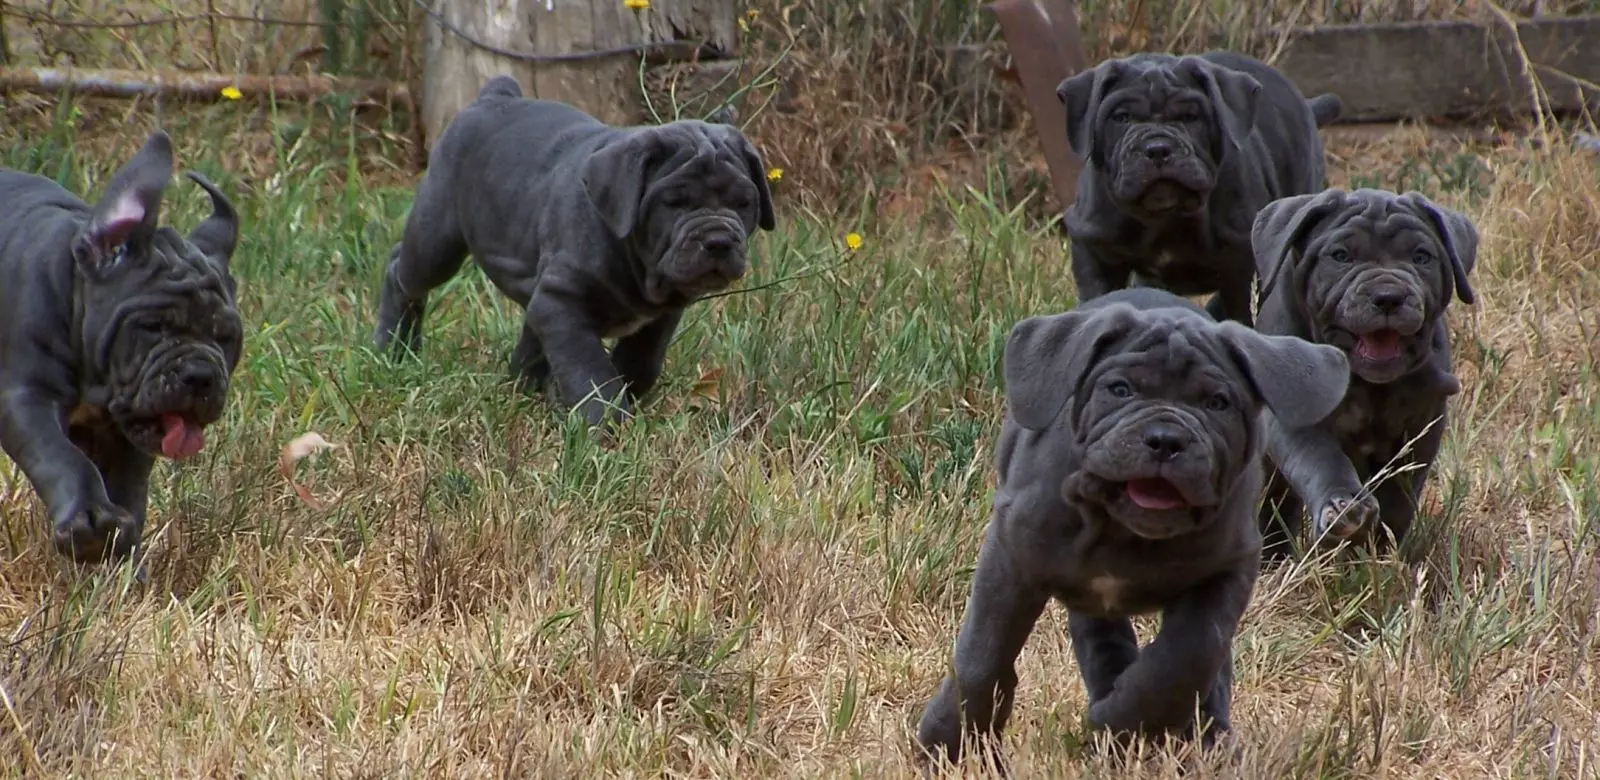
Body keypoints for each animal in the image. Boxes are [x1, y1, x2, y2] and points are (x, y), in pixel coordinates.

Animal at [374, 77, 774, 428]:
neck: (630, 254)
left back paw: (526, 385)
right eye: (674, 203)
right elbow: (590, 370)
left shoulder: (660, 313)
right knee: (402, 273)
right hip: (437, 239)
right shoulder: (563, 303)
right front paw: (606, 425)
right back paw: (394, 349)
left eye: (744, 203)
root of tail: (494, 95)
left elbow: (641, 360)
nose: (719, 240)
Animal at [915, 284, 1350, 767]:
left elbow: (1189, 654)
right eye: (1119, 390)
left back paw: (1201, 734)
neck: (1120, 531)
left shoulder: (1229, 569)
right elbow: (982, 652)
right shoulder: (1010, 556)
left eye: (1216, 403)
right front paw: (947, 743)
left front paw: (1124, 720)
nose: (1165, 439)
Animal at [1062, 50, 1350, 326]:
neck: (1165, 217)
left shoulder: (1240, 266)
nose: (1157, 148)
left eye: (1191, 117)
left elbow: (1240, 313)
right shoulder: (1094, 252)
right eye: (1121, 118)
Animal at [1248, 191, 1484, 562]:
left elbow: (1400, 491)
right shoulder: (1294, 415)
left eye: (1421, 257)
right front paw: (1345, 509)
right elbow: (1320, 457)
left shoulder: (1424, 421)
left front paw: (1379, 545)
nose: (1388, 297)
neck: (1365, 383)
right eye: (1341, 256)